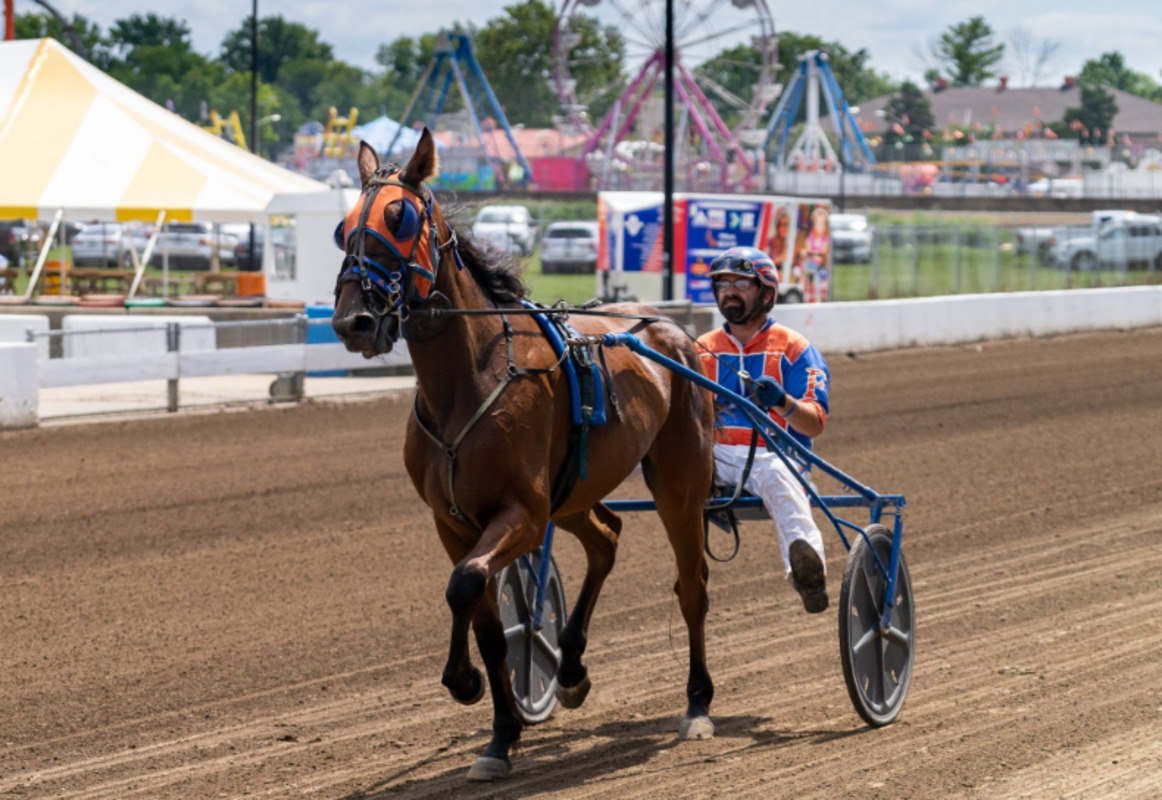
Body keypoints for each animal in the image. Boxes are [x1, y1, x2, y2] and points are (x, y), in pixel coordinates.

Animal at [331, 129, 716, 781]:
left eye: (400, 216)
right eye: (342, 227)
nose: (352, 321)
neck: (468, 379)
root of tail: (669, 329)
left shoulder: (523, 513)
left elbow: (465, 584)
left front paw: (463, 680)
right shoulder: (455, 523)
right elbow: (484, 613)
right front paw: (501, 734)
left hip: (678, 484)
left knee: (691, 584)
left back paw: (696, 703)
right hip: (574, 492)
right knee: (605, 538)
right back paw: (570, 669)